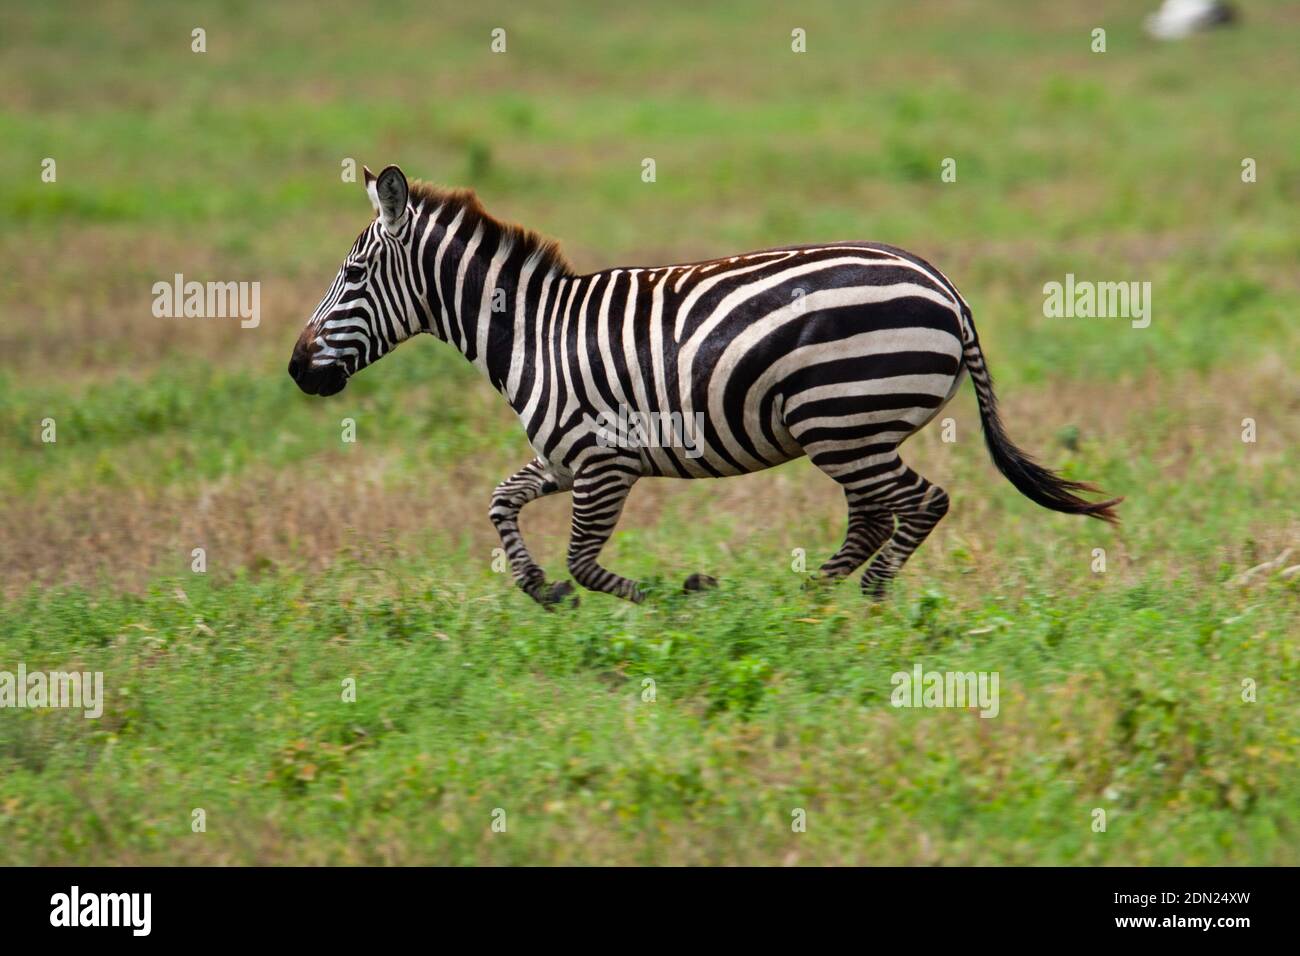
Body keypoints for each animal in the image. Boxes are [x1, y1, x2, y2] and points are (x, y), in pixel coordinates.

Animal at [289, 165, 1120, 606]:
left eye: (352, 276)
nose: (296, 369)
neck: (534, 333)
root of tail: (947, 289)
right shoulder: (563, 458)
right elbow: (500, 502)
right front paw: (538, 588)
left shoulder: (603, 464)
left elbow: (584, 560)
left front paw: (678, 594)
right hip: (853, 431)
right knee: (874, 516)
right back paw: (811, 601)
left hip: (842, 420)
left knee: (919, 504)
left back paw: (854, 599)